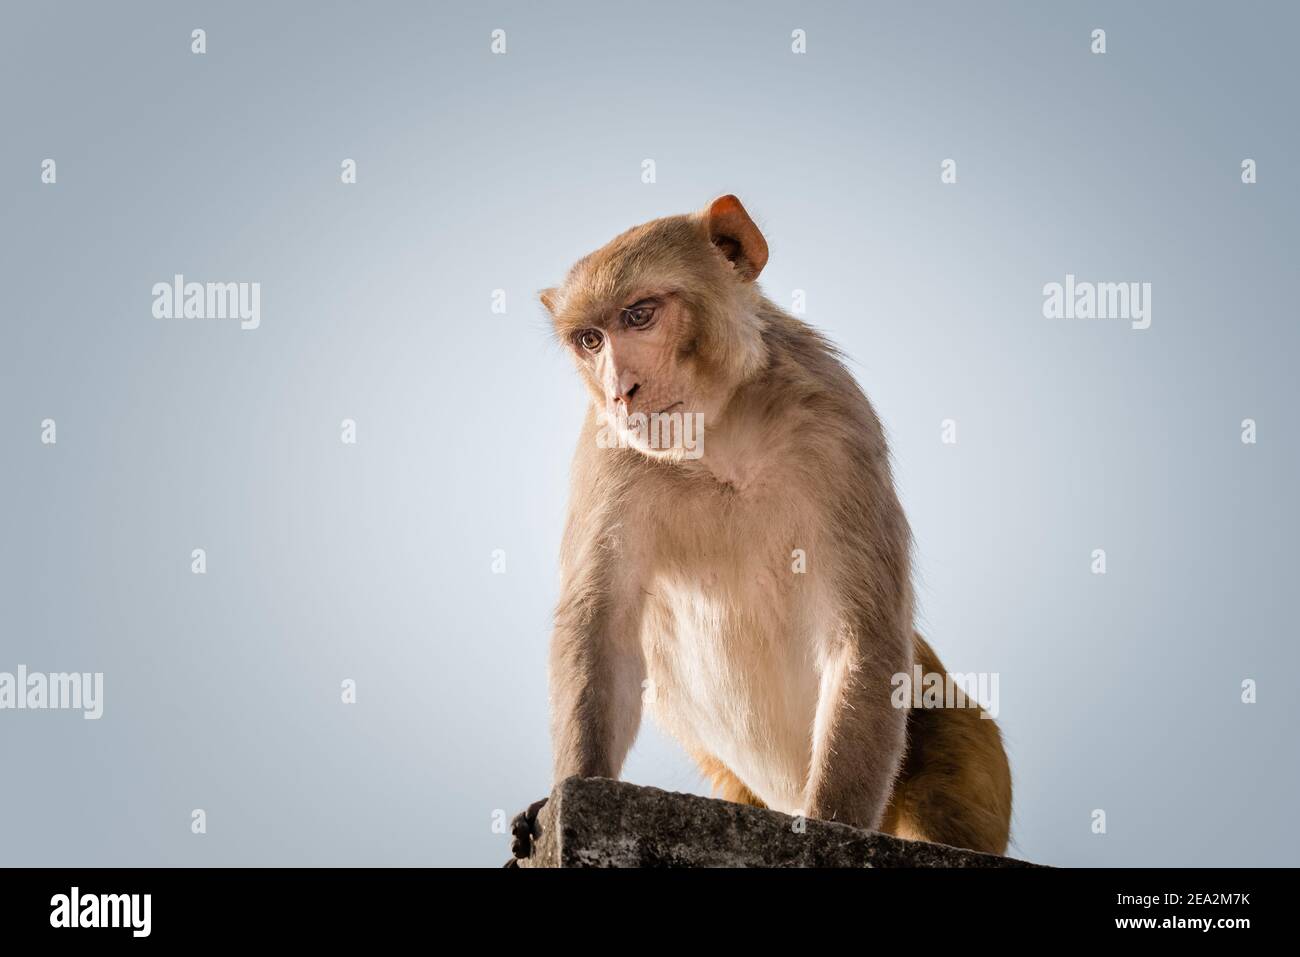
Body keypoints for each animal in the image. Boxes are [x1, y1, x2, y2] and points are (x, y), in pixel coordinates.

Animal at [521, 195, 1011, 859]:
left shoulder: (837, 425)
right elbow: (604, 624)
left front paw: (827, 828)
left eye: (640, 315)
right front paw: (568, 790)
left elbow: (862, 632)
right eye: (591, 339)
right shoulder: (608, 453)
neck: (721, 434)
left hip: (960, 745)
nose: (621, 389)